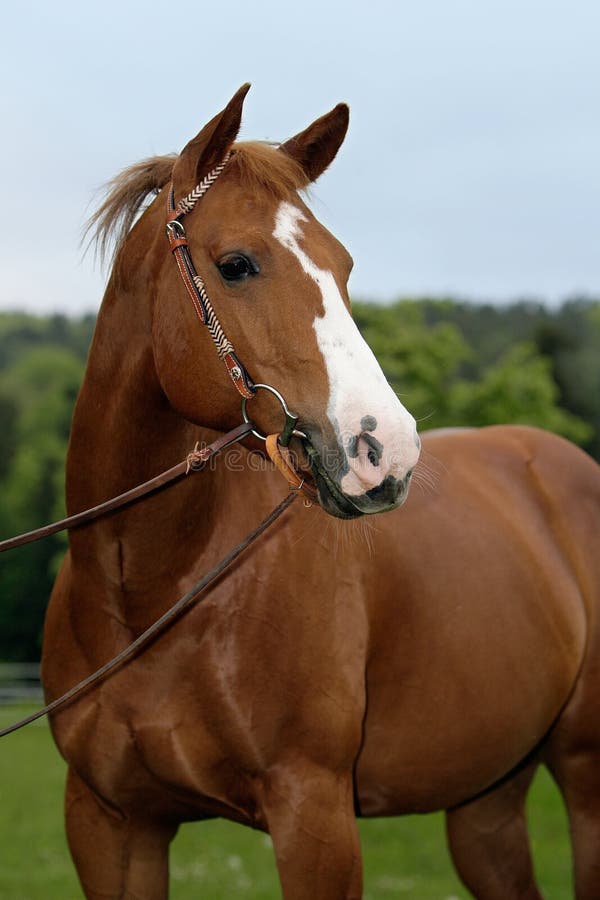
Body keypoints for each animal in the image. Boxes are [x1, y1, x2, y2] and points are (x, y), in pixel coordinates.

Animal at [41, 83, 600, 899]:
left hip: (585, 775)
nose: (386, 451)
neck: (148, 595)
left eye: (343, 265)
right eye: (237, 264)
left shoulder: (314, 814)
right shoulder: (108, 824)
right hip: (486, 799)